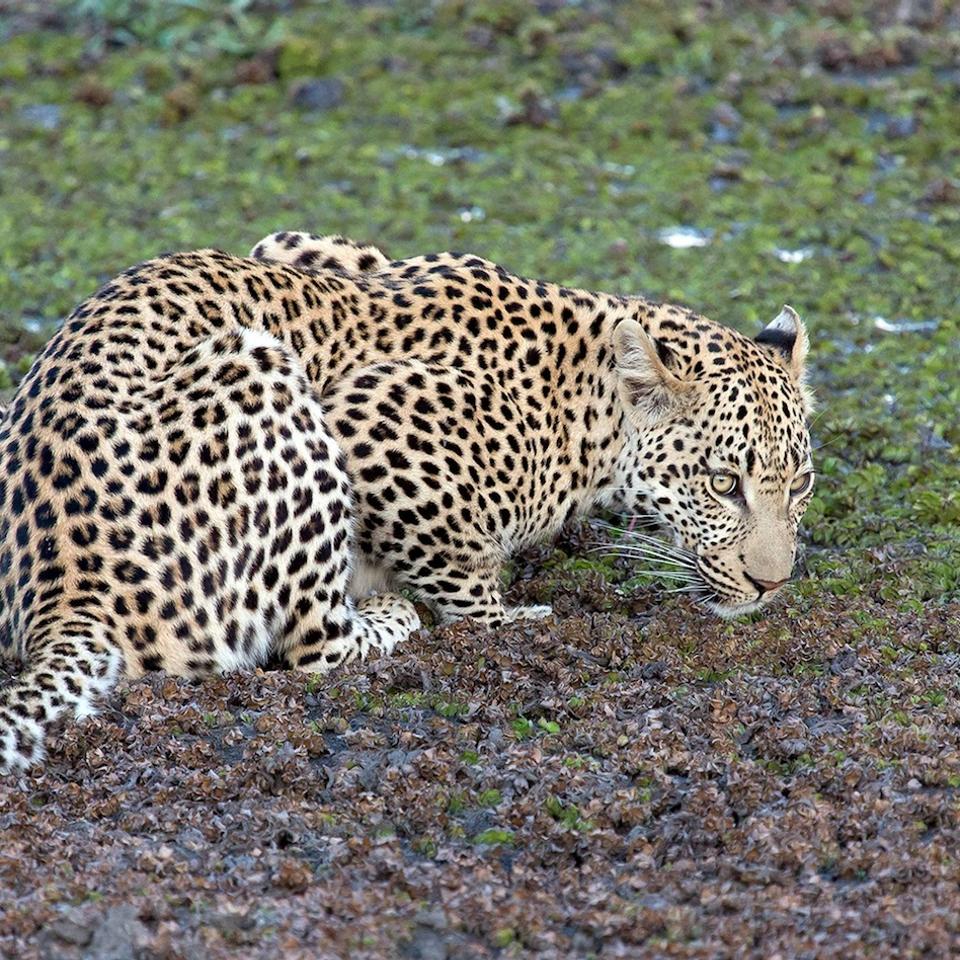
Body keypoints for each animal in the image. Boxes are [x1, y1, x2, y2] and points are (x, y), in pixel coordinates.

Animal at [0, 229, 815, 770]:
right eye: (723, 483)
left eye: (799, 485)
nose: (771, 585)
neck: (592, 405)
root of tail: (64, 602)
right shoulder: (372, 422)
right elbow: (464, 575)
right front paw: (509, 615)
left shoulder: (303, 247)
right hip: (263, 368)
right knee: (313, 644)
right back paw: (390, 615)